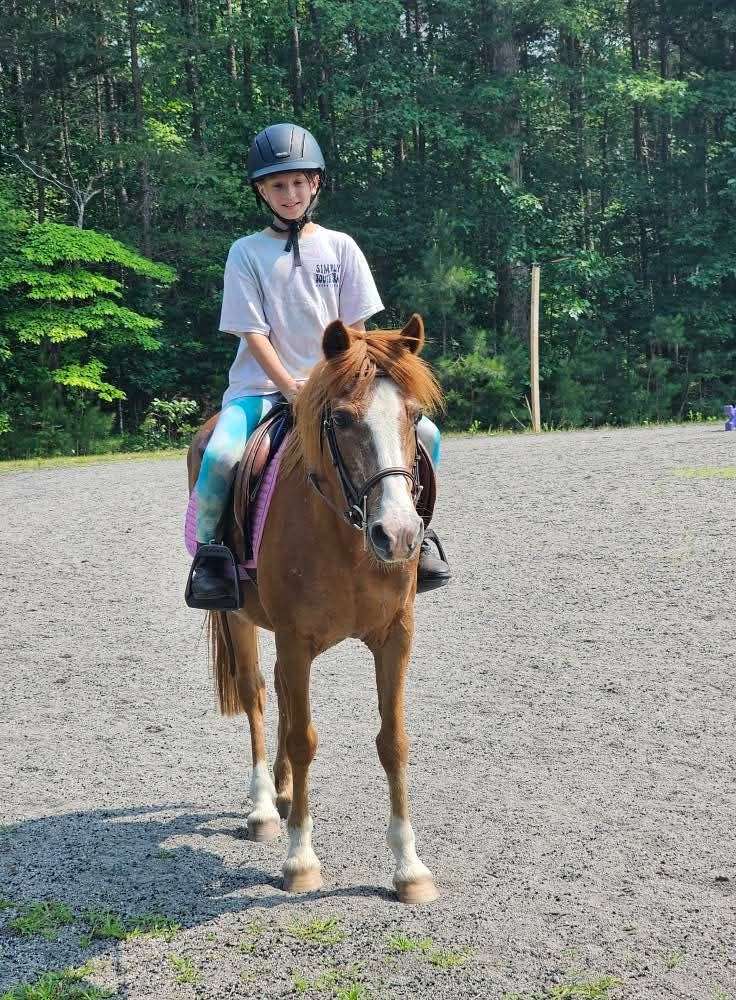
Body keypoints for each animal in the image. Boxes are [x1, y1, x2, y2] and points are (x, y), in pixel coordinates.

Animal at [187, 314, 444, 904]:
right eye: (343, 419)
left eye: (414, 416)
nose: (399, 535)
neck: (345, 536)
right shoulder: (295, 639)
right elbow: (303, 739)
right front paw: (301, 860)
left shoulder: (395, 637)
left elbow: (393, 742)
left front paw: (409, 868)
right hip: (241, 621)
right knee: (259, 697)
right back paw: (264, 807)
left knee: (281, 696)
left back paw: (282, 796)